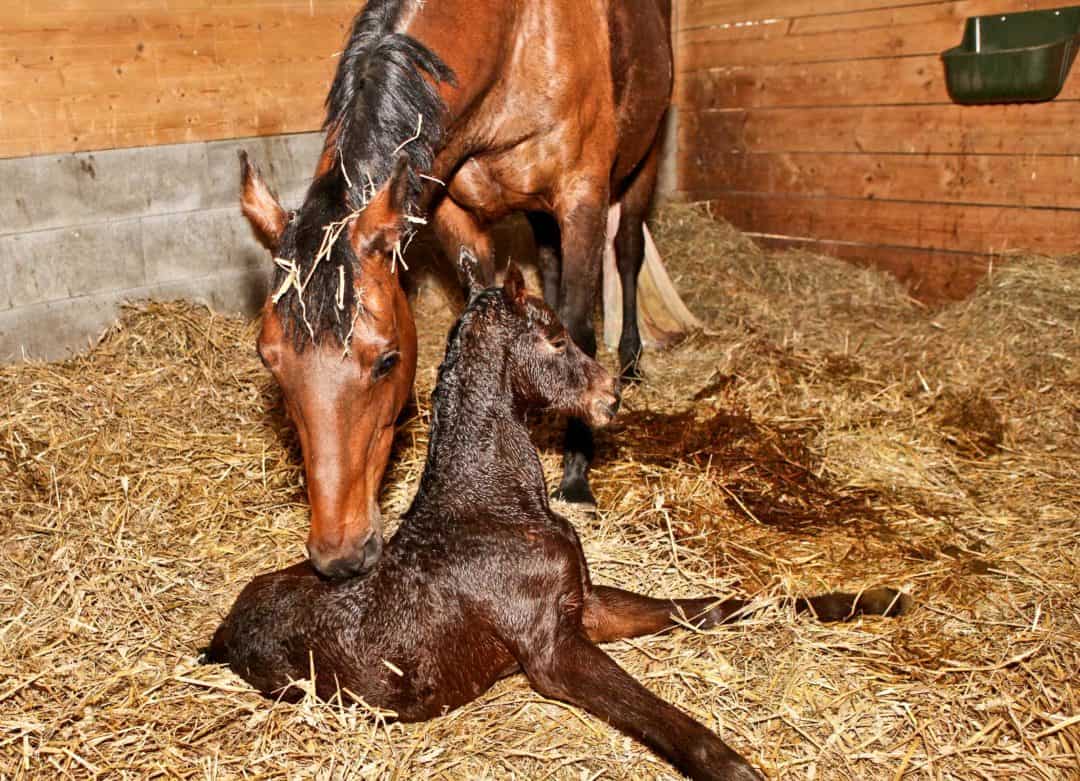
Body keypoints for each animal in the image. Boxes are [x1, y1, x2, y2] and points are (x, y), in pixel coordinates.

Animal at [203, 260, 911, 781]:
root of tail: (224, 632)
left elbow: (714, 607)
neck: (492, 510)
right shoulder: (551, 651)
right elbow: (655, 710)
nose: (611, 395)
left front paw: (873, 599)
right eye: (557, 337)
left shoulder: (586, 606)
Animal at [239, 0, 678, 577]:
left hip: (640, 162)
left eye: (388, 360)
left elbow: (580, 325)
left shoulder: (582, 195)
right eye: (270, 362)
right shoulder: (451, 207)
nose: (340, 556)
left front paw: (576, 477)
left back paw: (630, 358)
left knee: (626, 253)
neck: (516, 40)